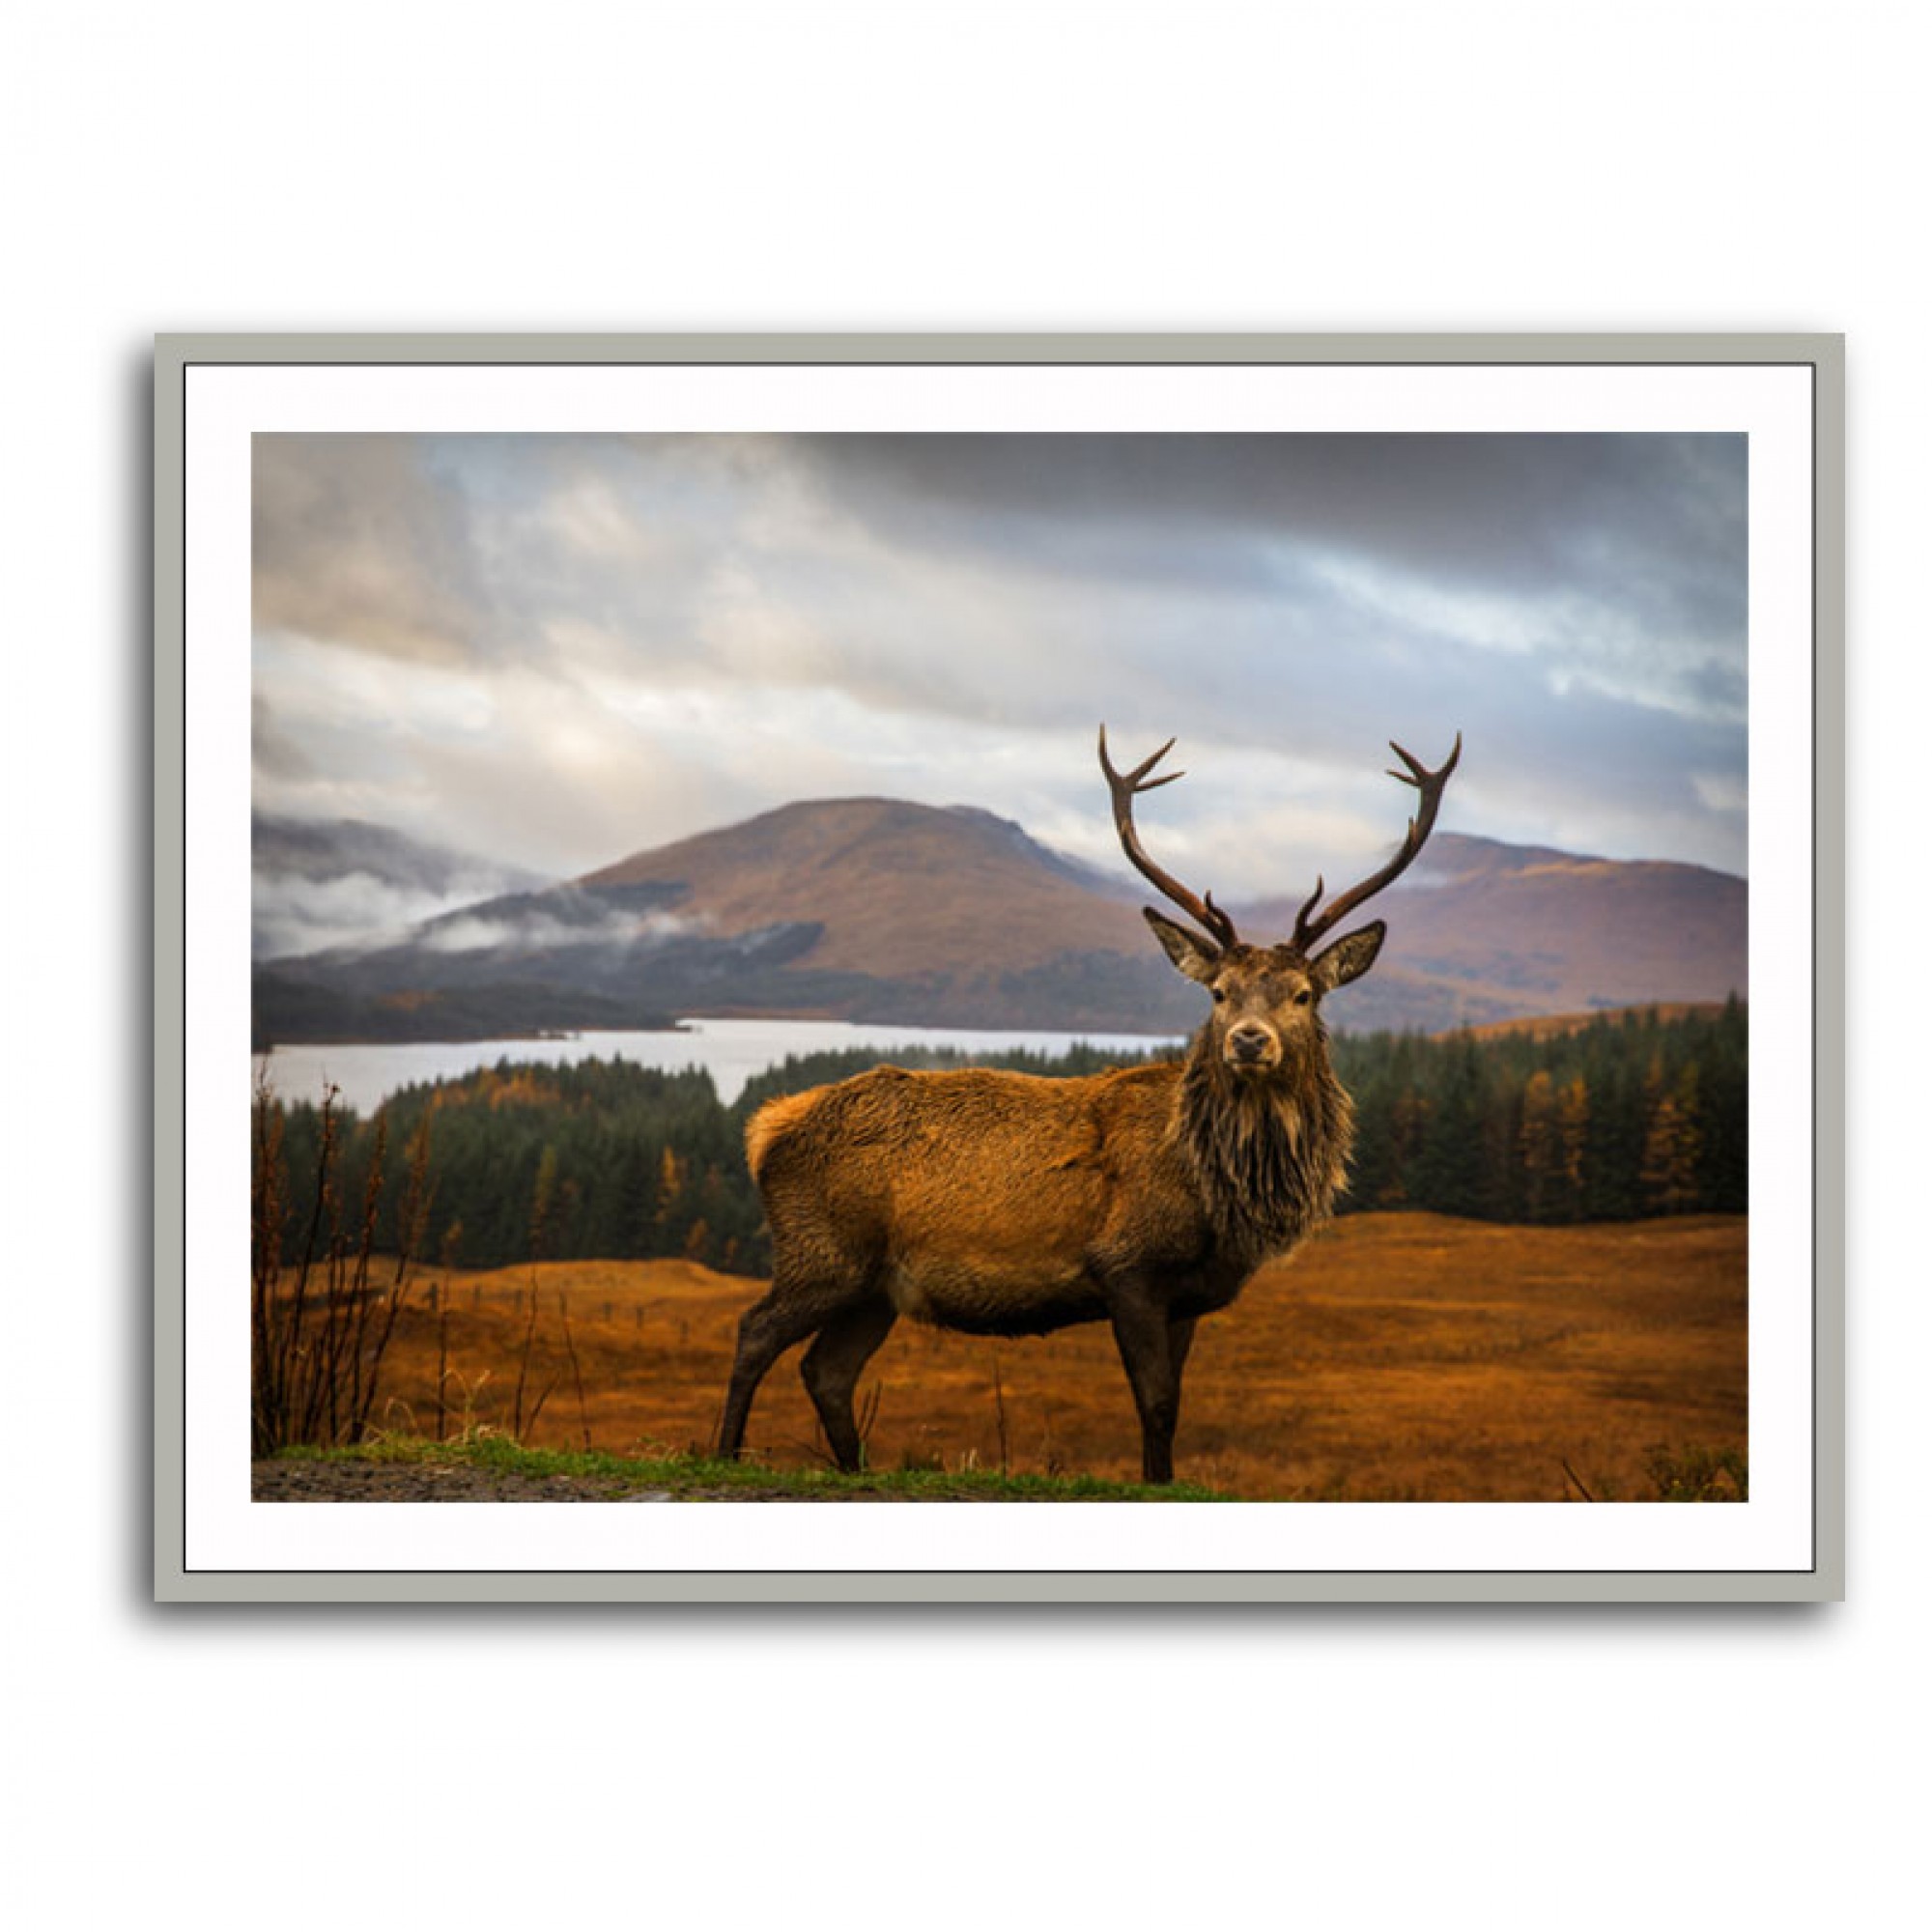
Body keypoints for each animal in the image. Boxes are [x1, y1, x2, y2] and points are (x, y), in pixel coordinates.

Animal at [715, 724, 1461, 1484]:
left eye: (1304, 994)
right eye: (1219, 992)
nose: (1249, 1040)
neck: (1219, 1197)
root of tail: (765, 1127)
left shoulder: (1188, 1295)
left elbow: (1174, 1405)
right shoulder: (1125, 1265)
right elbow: (1155, 1403)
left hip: (875, 1287)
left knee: (827, 1371)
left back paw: (855, 1470)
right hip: (822, 1250)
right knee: (754, 1332)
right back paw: (723, 1452)